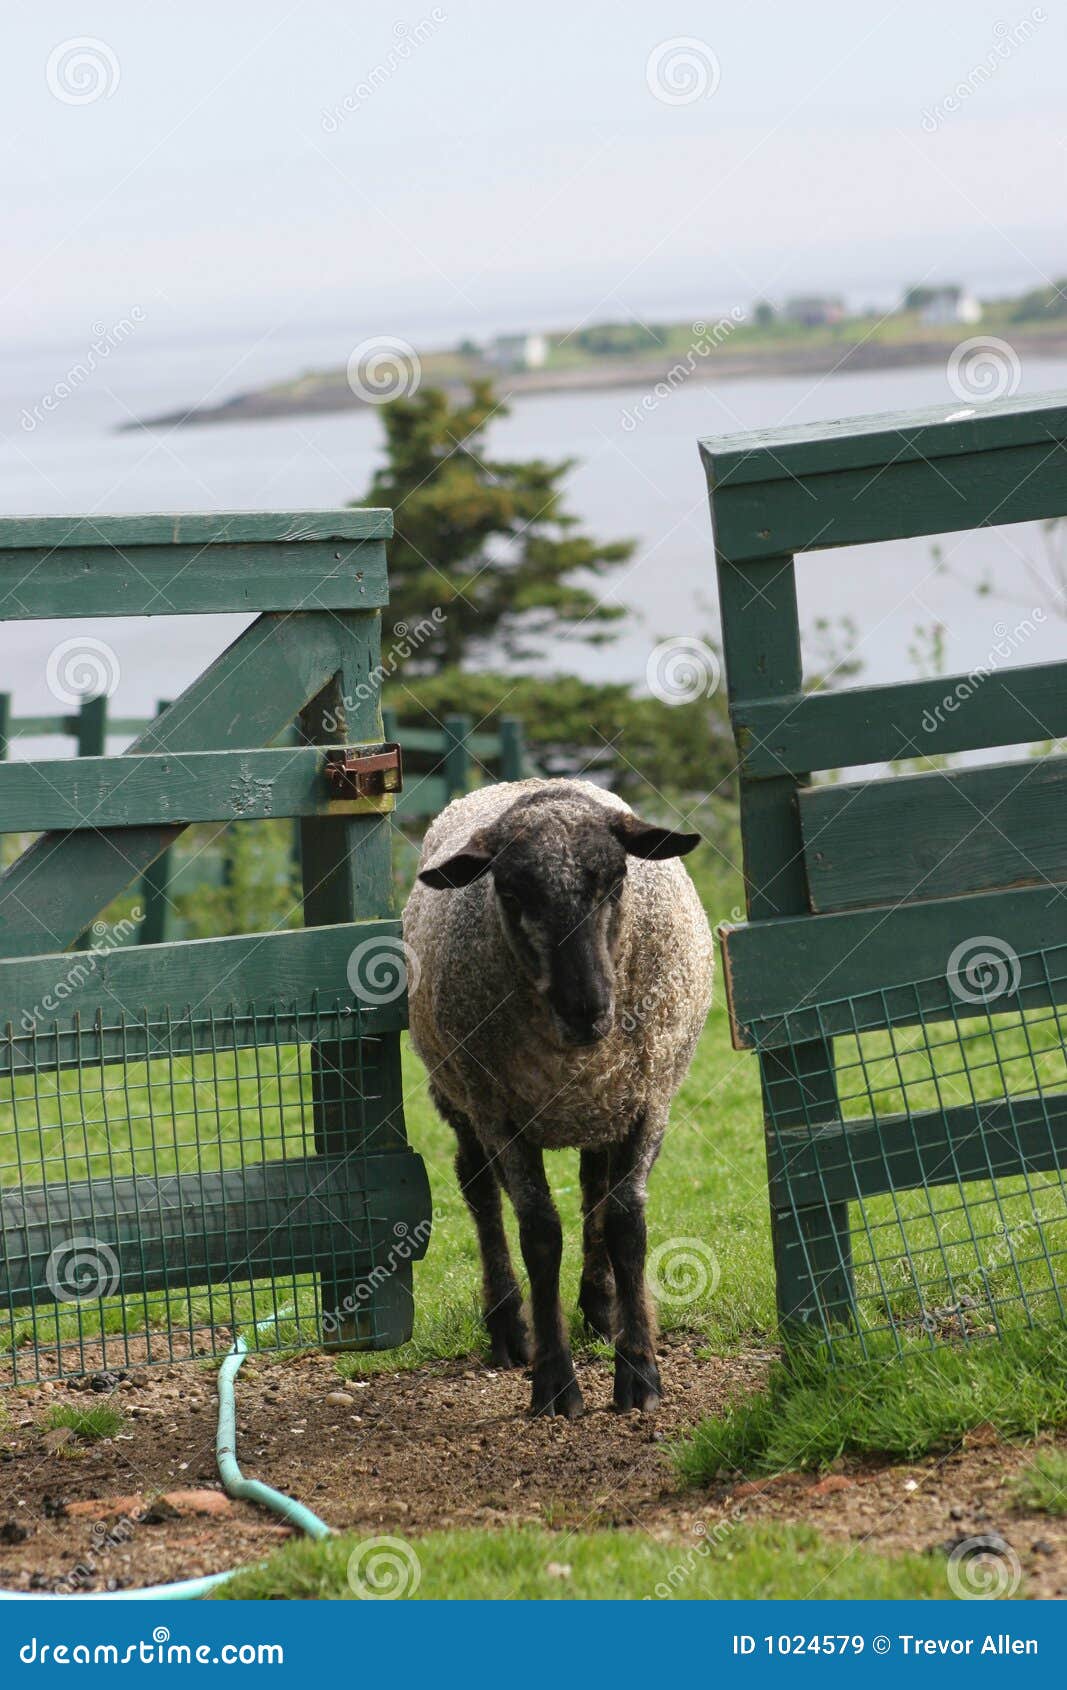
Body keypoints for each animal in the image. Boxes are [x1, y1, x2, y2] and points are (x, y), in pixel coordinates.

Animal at [403, 777, 714, 1418]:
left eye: (616, 879)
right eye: (510, 889)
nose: (586, 1007)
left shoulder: (648, 1101)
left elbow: (625, 1223)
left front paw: (638, 1372)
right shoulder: (500, 1115)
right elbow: (540, 1235)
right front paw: (554, 1383)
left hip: (603, 1104)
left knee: (595, 1188)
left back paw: (600, 1306)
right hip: (460, 1096)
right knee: (479, 1190)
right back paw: (507, 1327)